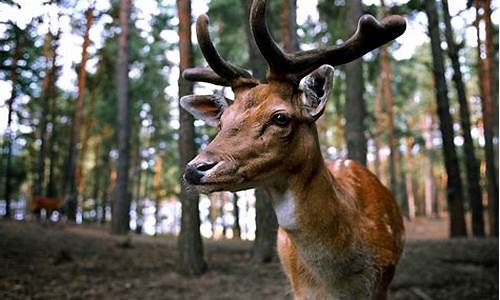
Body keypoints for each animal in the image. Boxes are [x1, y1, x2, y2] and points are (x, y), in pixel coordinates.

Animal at [180, 1, 406, 298]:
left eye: (280, 117)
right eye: (222, 122)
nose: (195, 169)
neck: (337, 282)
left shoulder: (382, 283)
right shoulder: (299, 288)